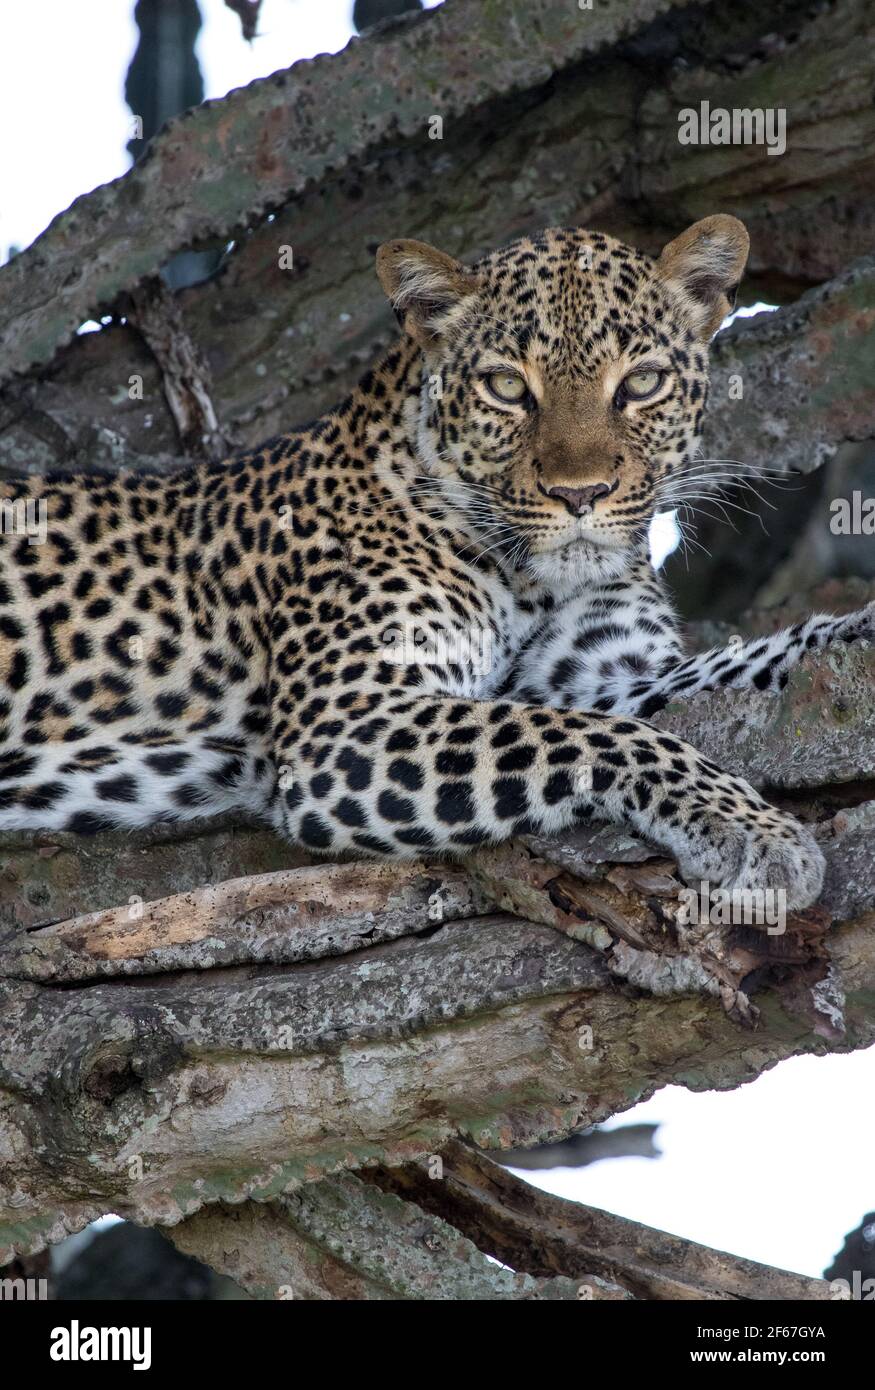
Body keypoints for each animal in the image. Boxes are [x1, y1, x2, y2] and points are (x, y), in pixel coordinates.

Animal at [0, 215, 872, 909]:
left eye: (642, 383)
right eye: (506, 389)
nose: (580, 494)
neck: (528, 580)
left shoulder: (599, 673)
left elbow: (712, 672)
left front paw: (850, 630)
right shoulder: (345, 723)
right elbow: (592, 735)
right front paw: (755, 831)